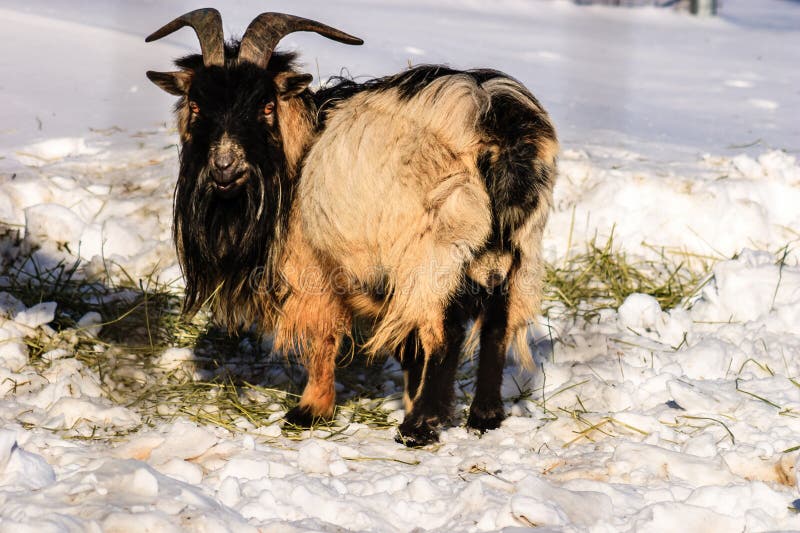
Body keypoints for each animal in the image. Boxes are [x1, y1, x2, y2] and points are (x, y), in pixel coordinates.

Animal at [146, 8, 558, 446]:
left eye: (265, 105)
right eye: (195, 105)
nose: (224, 166)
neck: (295, 165)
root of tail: (490, 120)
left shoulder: (319, 270)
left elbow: (325, 339)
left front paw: (311, 410)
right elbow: (409, 347)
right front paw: (408, 398)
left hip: (433, 249)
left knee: (444, 332)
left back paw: (417, 428)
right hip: (514, 247)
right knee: (497, 323)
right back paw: (484, 415)